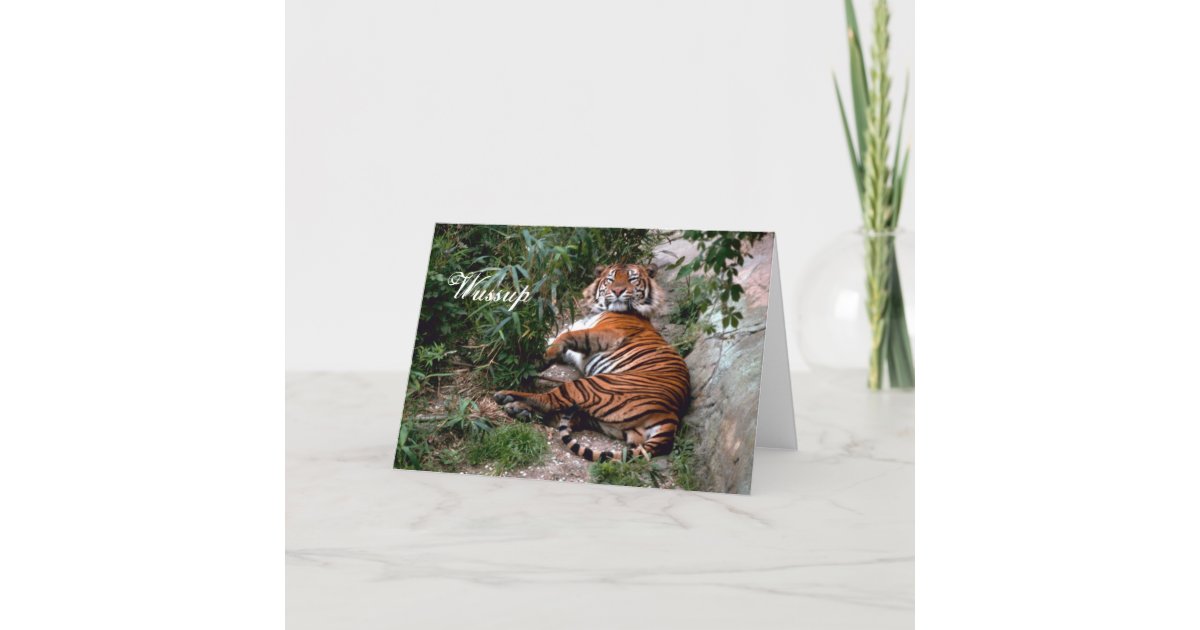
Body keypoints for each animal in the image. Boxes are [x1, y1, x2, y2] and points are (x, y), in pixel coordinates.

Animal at [493, 262, 691, 462]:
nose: (618, 291)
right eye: (611, 279)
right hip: (609, 422)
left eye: (632, 279)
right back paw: (518, 409)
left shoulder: (608, 333)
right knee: (565, 416)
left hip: (591, 385)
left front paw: (536, 360)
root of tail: (671, 416)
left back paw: (507, 397)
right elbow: (552, 340)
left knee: (549, 401)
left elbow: (566, 336)